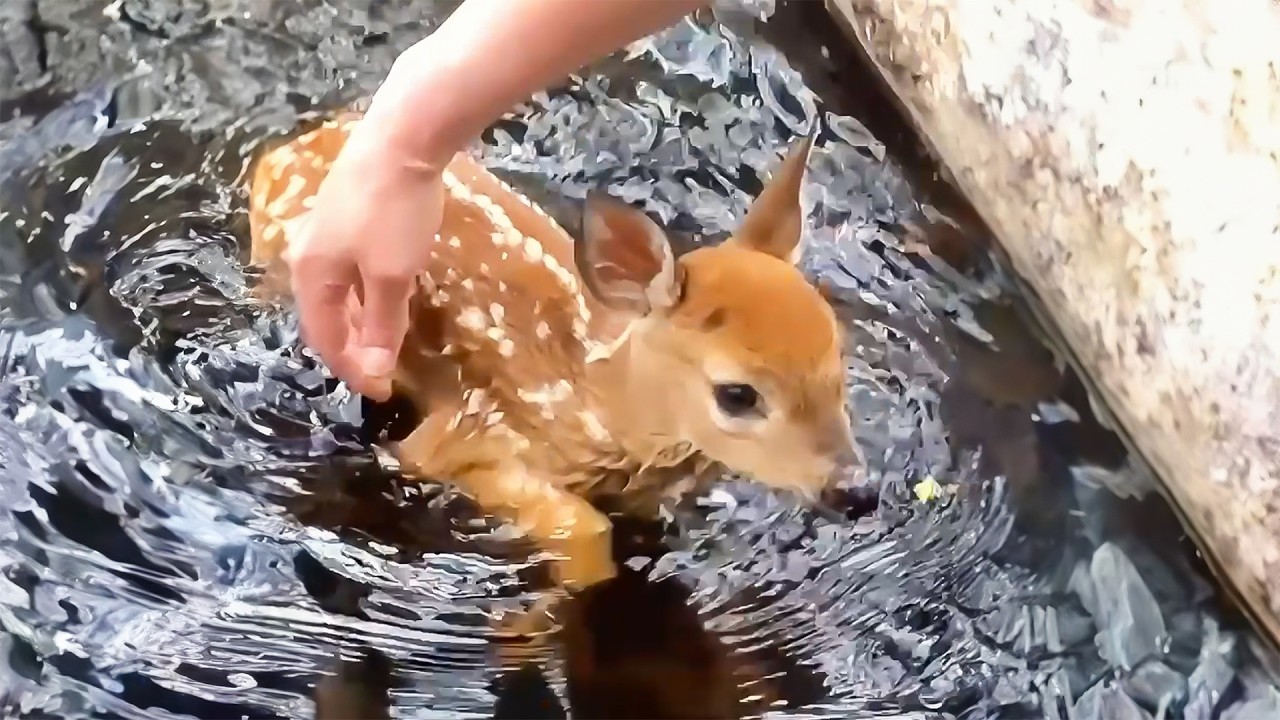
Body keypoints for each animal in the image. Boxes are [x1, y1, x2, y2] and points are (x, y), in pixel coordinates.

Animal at [246, 113, 861, 628]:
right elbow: (584, 526)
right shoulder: (467, 433)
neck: (593, 399)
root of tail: (292, 146)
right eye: (737, 394)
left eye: (839, 354)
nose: (855, 490)